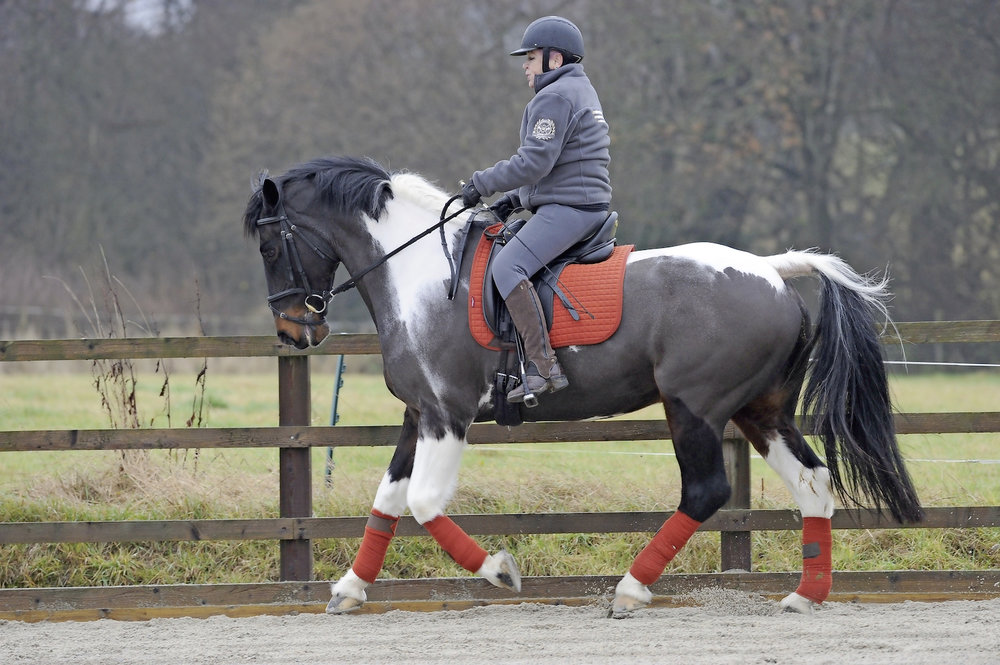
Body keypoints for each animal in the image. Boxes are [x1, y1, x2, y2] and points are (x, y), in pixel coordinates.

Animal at [242, 155, 923, 617]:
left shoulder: (448, 415)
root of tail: (773, 272)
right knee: (813, 483)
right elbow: (386, 500)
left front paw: (500, 571)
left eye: (270, 245)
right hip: (760, 411)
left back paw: (631, 589)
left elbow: (424, 504)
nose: (293, 332)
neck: (419, 273)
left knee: (705, 491)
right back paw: (806, 596)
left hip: (695, 408)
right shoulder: (421, 414)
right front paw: (349, 589)